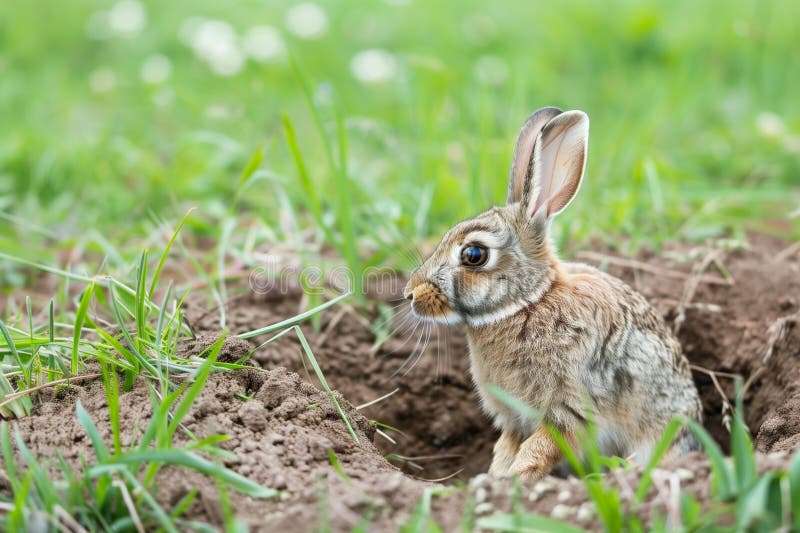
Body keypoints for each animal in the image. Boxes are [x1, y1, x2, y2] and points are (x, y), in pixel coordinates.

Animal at [403, 107, 701, 480]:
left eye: (473, 254)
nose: (410, 294)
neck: (529, 303)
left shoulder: (570, 408)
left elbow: (542, 446)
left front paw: (518, 479)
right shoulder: (513, 419)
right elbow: (507, 445)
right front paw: (496, 477)